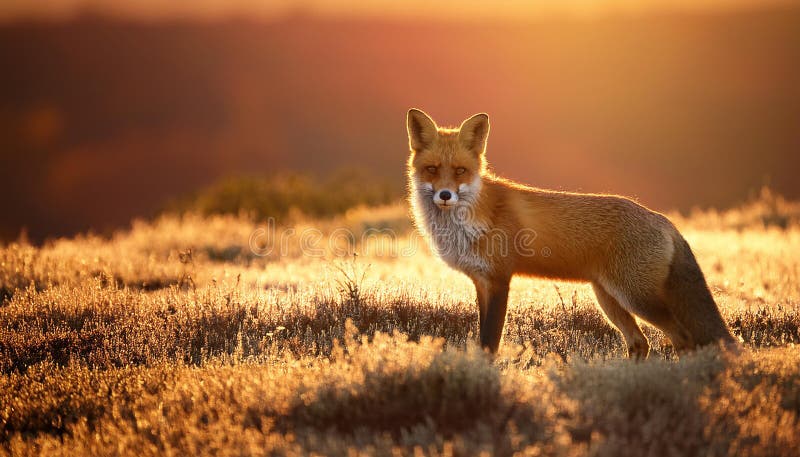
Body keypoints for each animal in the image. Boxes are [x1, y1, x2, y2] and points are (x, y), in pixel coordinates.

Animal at [406, 108, 737, 357]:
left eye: (460, 171)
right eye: (432, 169)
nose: (445, 195)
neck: (469, 221)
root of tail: (663, 220)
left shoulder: (500, 280)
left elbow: (490, 343)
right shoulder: (481, 282)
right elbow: (481, 340)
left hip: (637, 298)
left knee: (683, 339)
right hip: (609, 298)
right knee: (640, 343)